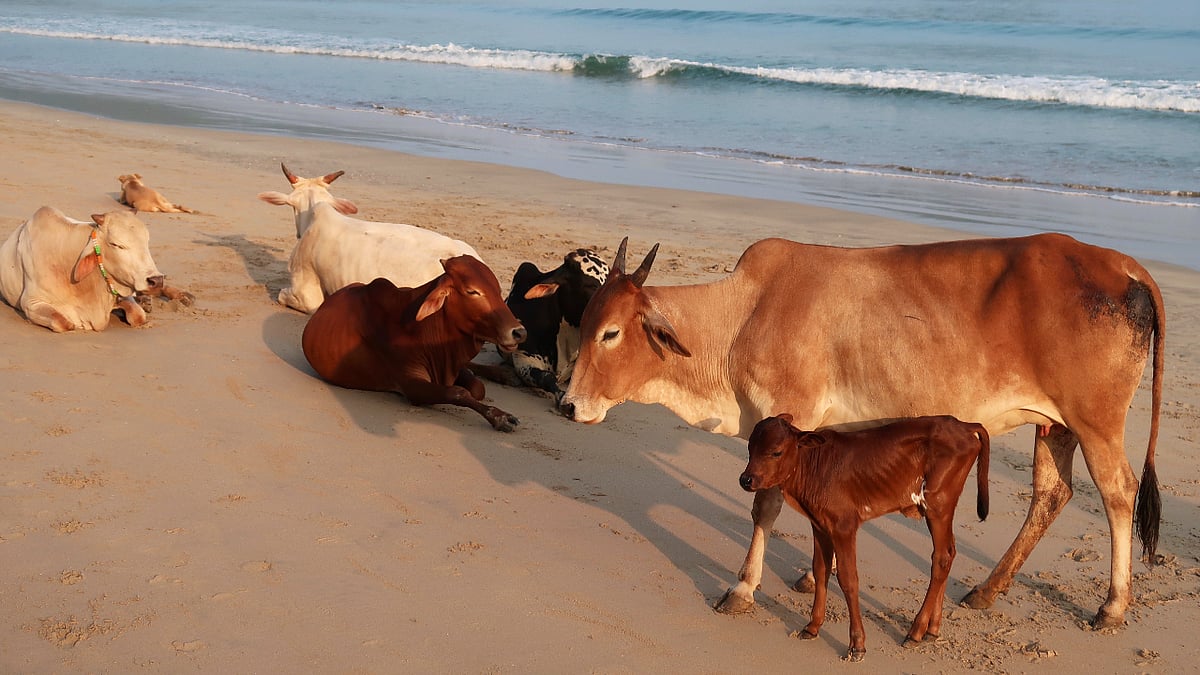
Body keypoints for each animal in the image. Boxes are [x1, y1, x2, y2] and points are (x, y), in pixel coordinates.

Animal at [0, 206, 189, 332]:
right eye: (116, 244)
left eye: (146, 241)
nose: (155, 280)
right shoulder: (31, 303)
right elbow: (63, 323)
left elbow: (138, 316)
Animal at [301, 255, 527, 431]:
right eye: (472, 291)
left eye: (498, 290)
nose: (519, 332)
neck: (420, 329)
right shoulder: (411, 385)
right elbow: (459, 391)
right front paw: (501, 417)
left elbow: (477, 387)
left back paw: (505, 374)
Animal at [561, 235, 1164, 630]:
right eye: (584, 324)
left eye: (611, 333)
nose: (568, 405)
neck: (744, 316)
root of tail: (1124, 265)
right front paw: (809, 579)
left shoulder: (784, 419)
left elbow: (767, 508)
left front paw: (743, 589)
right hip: (1054, 424)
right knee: (1052, 494)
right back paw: (987, 591)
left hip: (1095, 421)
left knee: (1118, 493)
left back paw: (1112, 605)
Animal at [740, 414, 990, 662]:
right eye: (750, 447)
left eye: (776, 452)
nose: (746, 479)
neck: (811, 465)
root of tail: (964, 425)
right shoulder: (820, 526)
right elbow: (820, 571)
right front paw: (812, 627)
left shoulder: (844, 527)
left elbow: (848, 580)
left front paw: (857, 644)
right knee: (949, 552)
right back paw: (932, 630)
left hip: (938, 504)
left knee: (941, 557)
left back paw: (916, 631)